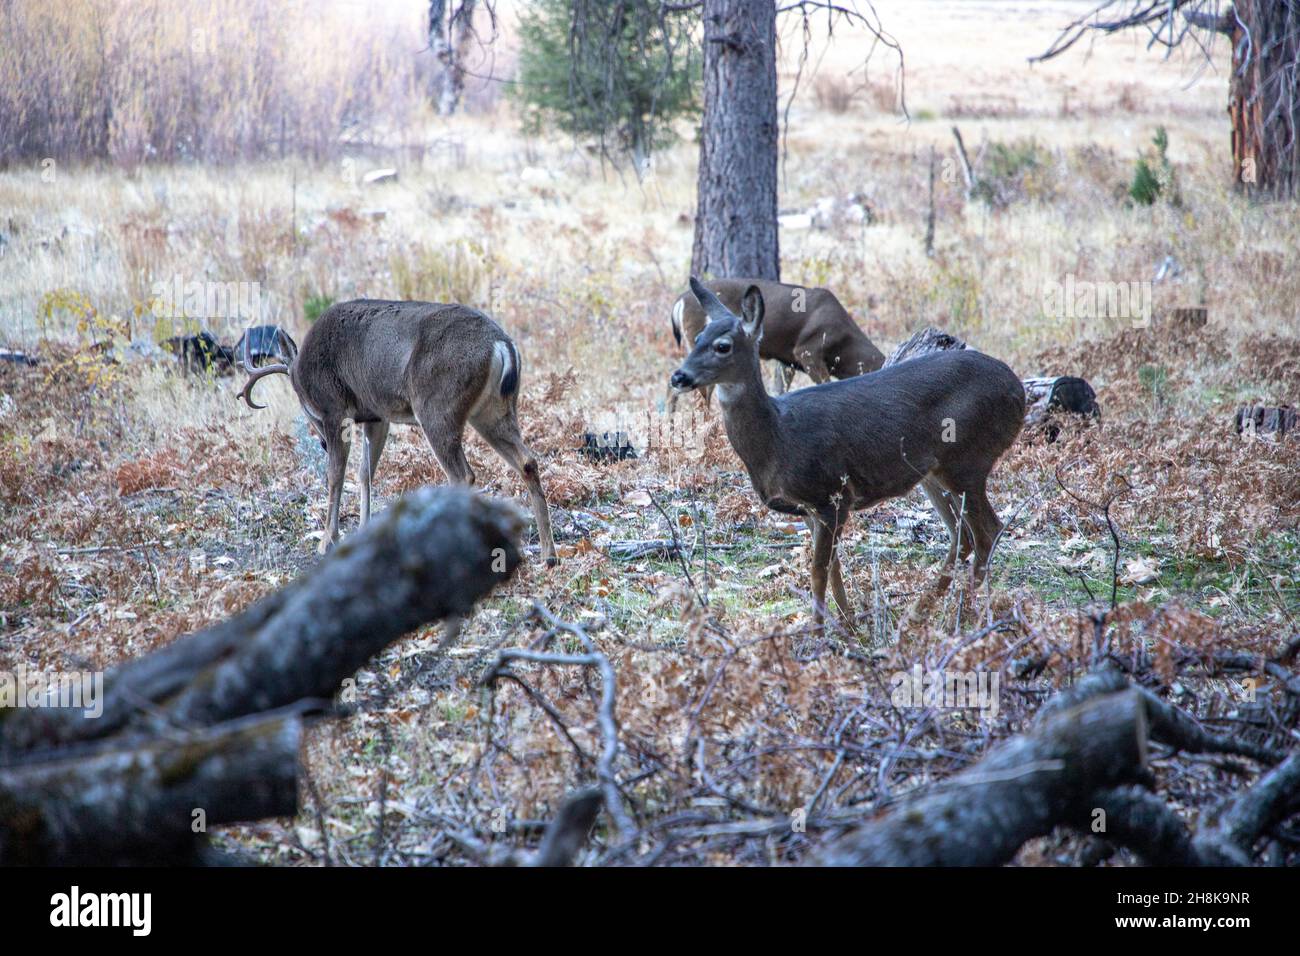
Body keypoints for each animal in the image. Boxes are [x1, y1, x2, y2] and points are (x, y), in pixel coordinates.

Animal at [237, 299, 557, 566]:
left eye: (305, 407)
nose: (322, 444)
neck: (304, 373)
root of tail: (502, 345)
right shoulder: (377, 416)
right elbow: (365, 473)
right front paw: (362, 531)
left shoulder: (335, 410)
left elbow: (335, 475)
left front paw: (328, 541)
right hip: (494, 411)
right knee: (527, 461)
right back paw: (548, 555)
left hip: (436, 408)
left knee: (463, 474)